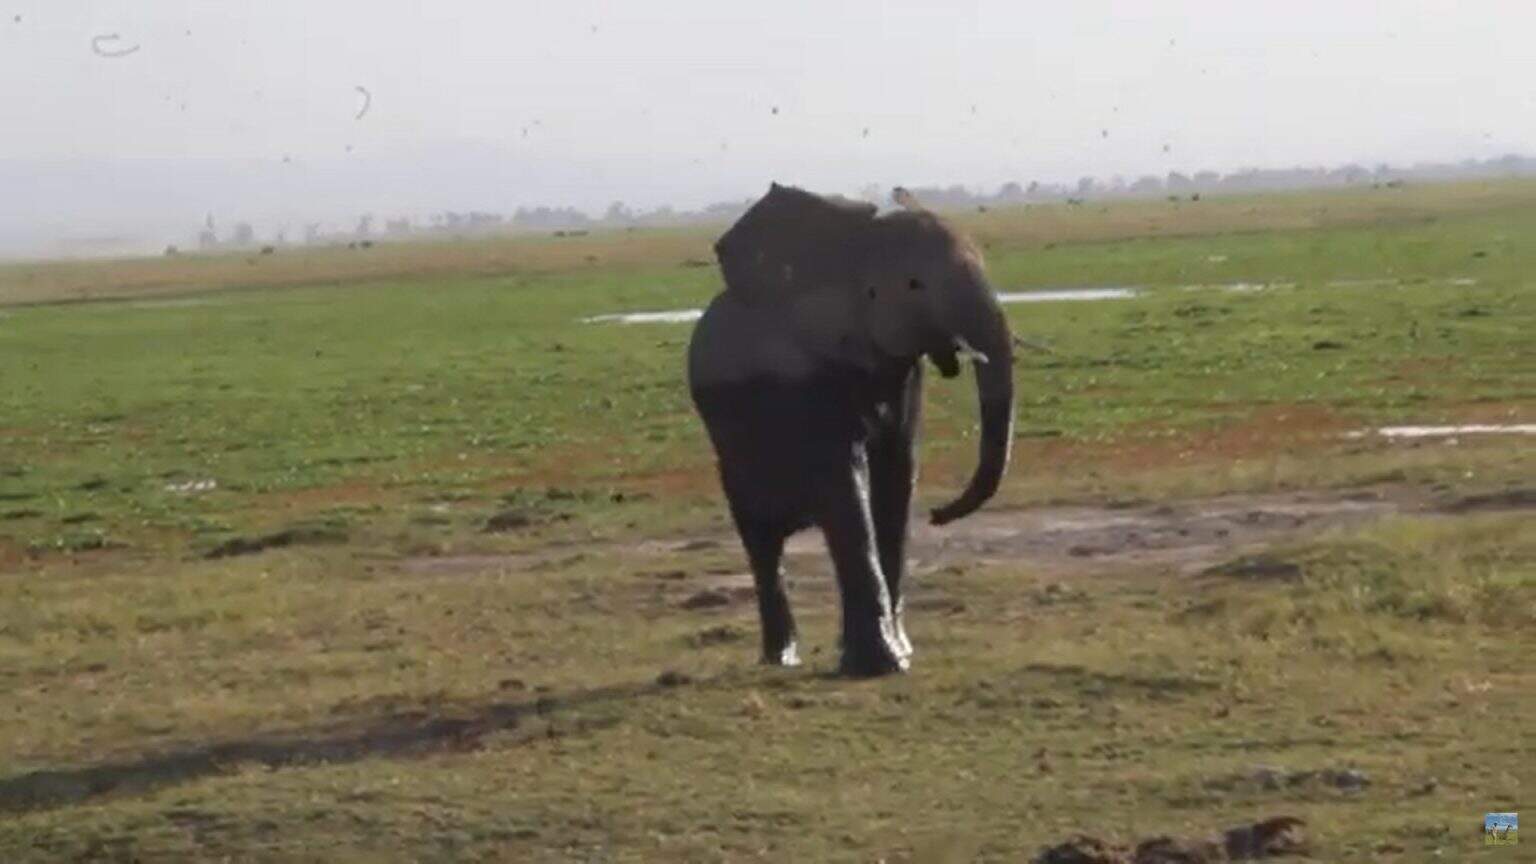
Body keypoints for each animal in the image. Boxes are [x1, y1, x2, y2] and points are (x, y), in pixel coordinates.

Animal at [686, 183, 1015, 676]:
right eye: (915, 284)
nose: (939, 515)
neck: (858, 245)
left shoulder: (903, 375)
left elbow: (896, 481)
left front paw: (902, 653)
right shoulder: (806, 379)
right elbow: (847, 487)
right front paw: (882, 666)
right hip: (730, 452)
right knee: (762, 543)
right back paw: (781, 658)